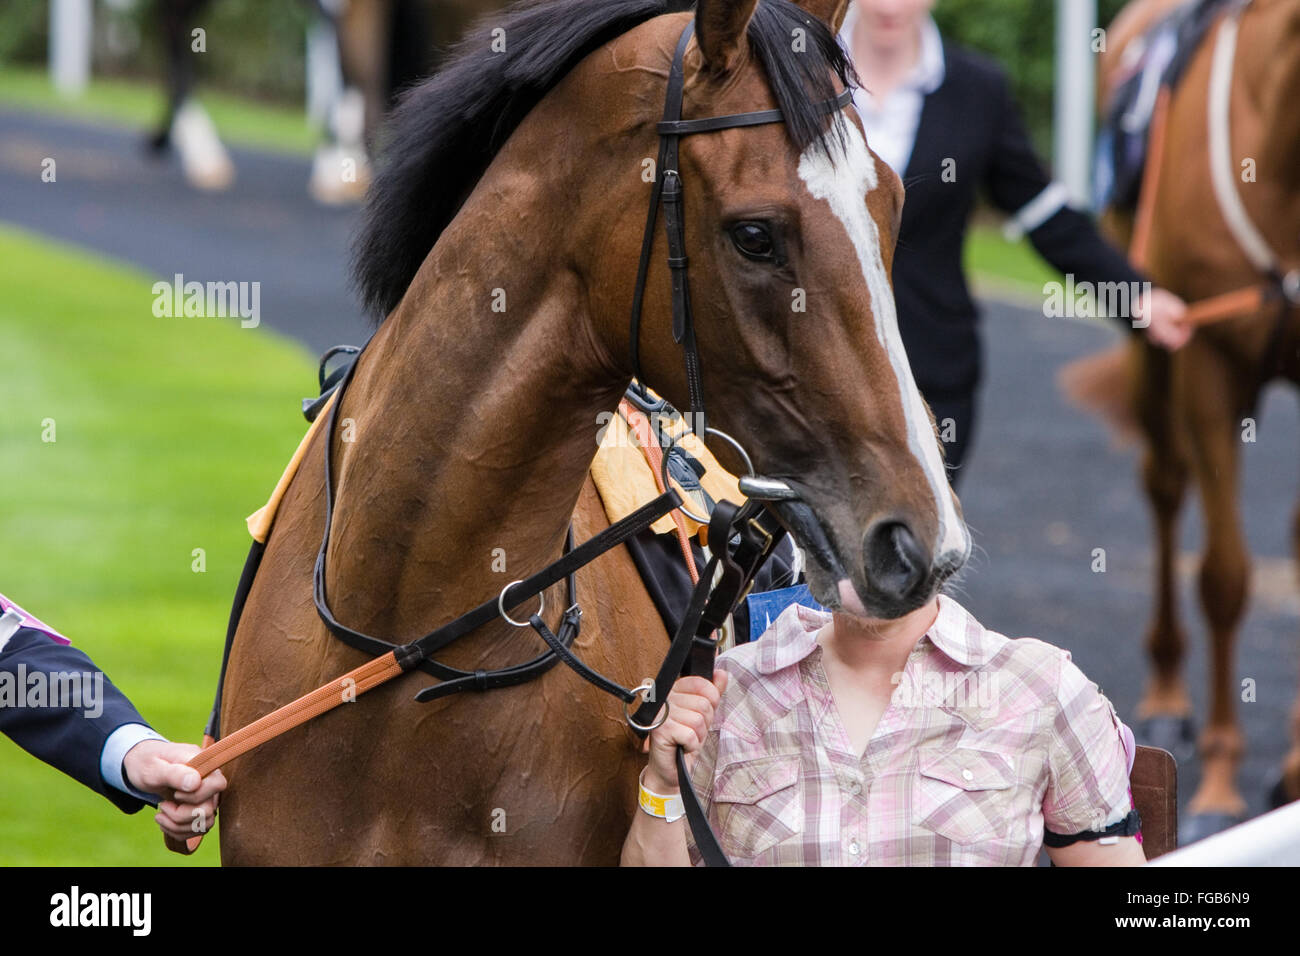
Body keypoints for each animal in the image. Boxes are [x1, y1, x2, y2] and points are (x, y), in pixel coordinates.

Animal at [1079, 0, 1300, 840]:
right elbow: (1224, 578)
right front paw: (1222, 782)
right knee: (1167, 486)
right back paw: (1171, 692)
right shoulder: (1206, 358)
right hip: (1150, 339)